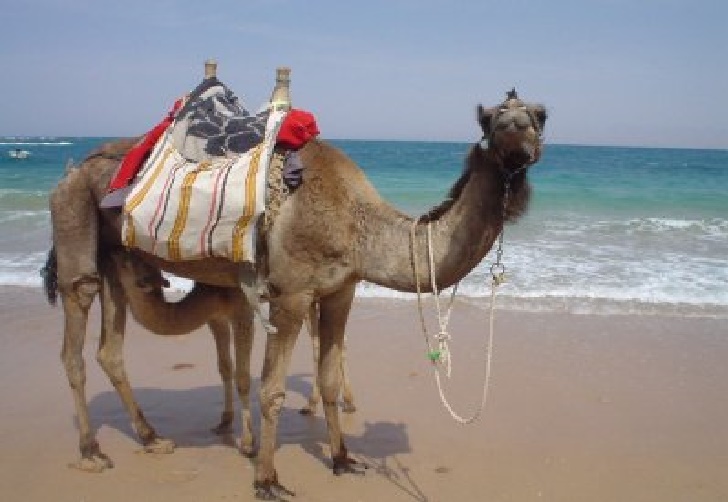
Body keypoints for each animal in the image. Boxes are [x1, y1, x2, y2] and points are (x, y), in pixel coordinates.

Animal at [46, 89, 546, 500]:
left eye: (540, 115)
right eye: (494, 119)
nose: (518, 133)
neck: (359, 224)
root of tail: (76, 167)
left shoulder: (341, 291)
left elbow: (328, 379)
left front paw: (342, 459)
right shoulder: (290, 293)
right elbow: (271, 390)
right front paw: (267, 479)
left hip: (117, 253)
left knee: (111, 348)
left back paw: (151, 438)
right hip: (73, 217)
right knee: (75, 325)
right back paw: (92, 451)